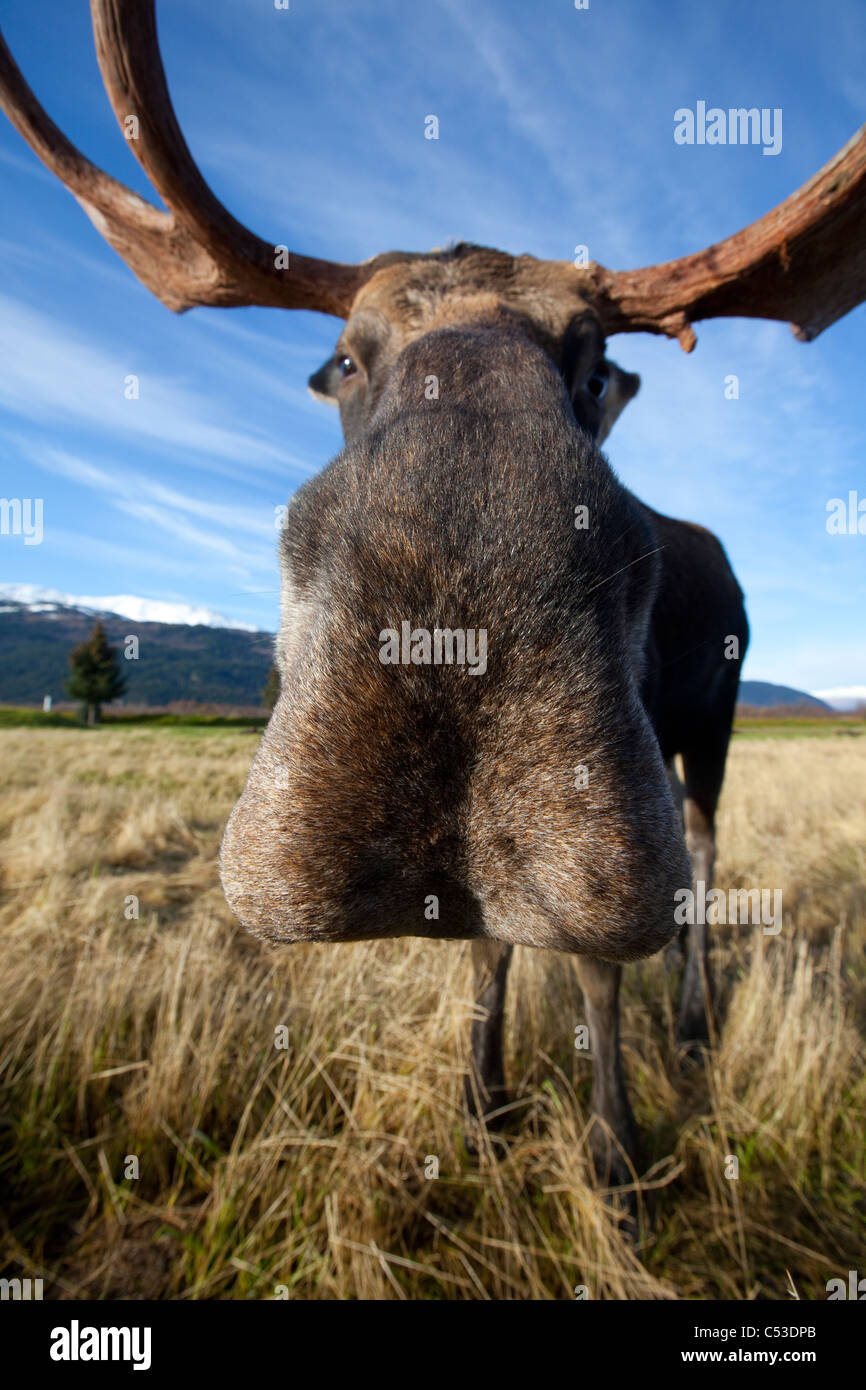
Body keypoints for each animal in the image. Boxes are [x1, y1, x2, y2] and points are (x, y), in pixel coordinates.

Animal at [3, 1, 865, 1193]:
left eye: (593, 365)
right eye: (345, 358)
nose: (457, 602)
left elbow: (596, 974)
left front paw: (614, 1152)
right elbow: (486, 946)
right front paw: (481, 1100)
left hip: (713, 724)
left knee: (700, 856)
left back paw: (693, 1024)